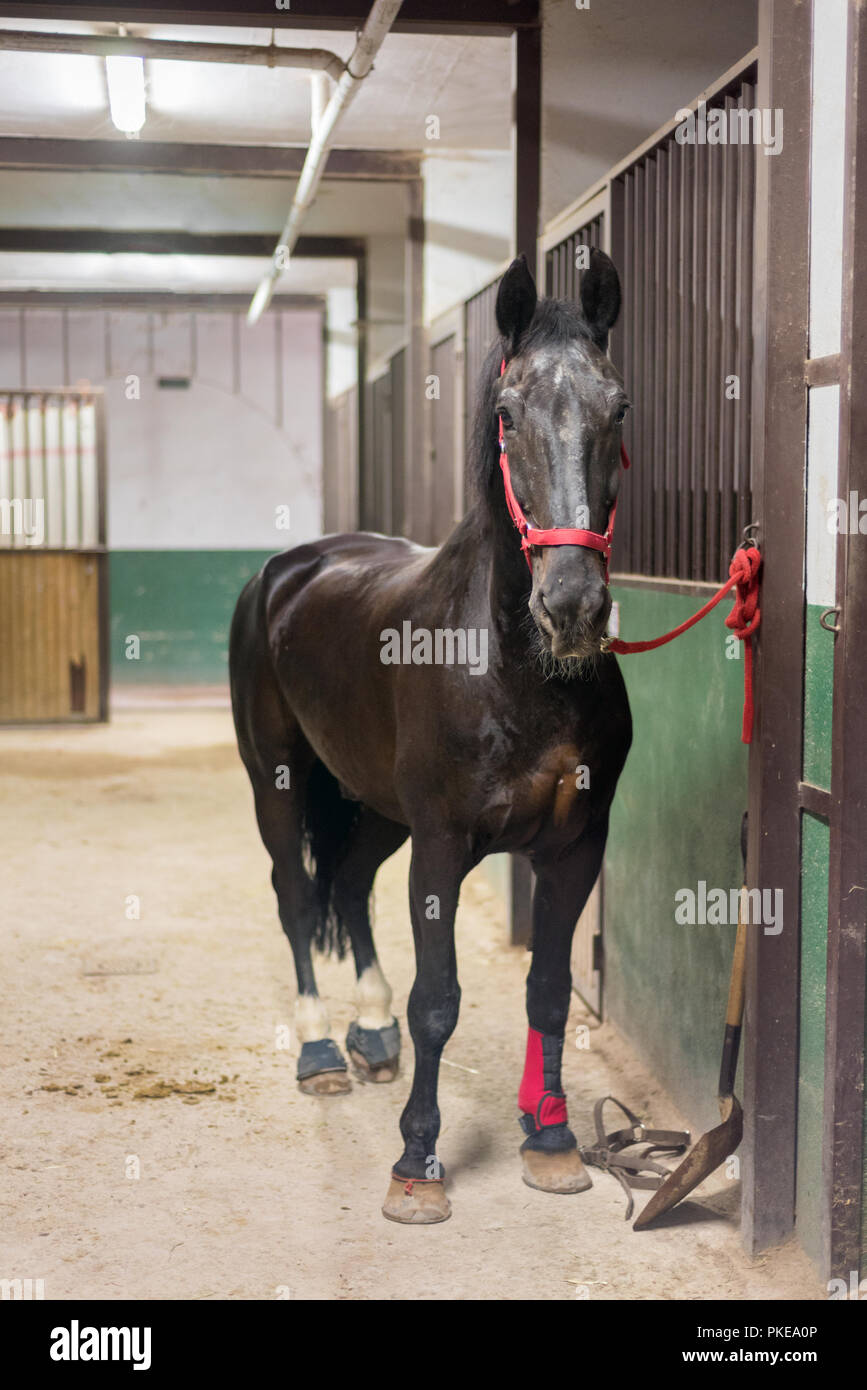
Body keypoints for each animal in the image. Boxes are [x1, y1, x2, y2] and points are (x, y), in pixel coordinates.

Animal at [229, 250, 633, 1224]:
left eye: (618, 408)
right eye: (507, 414)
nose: (571, 606)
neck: (514, 670)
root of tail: (284, 570)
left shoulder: (575, 846)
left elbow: (548, 992)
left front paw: (553, 1142)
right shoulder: (443, 845)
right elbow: (440, 1001)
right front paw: (417, 1162)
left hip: (376, 807)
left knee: (348, 882)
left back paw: (367, 1031)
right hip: (276, 782)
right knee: (295, 897)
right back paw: (319, 1051)